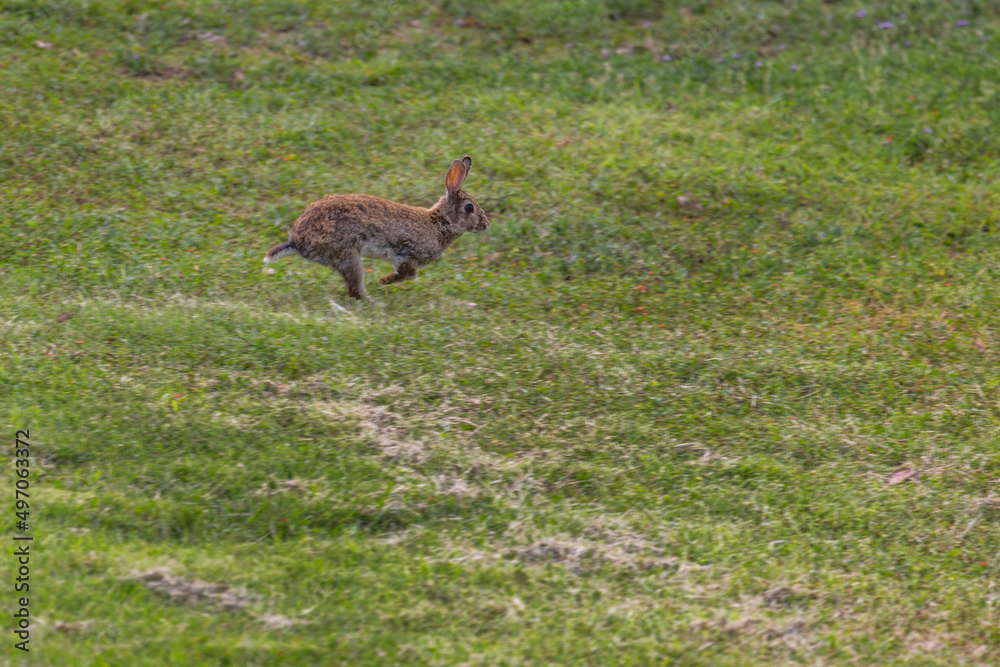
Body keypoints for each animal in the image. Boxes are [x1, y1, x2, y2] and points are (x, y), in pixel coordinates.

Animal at [263, 156, 490, 301]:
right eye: (469, 208)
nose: (486, 225)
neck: (439, 222)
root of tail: (297, 241)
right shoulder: (406, 254)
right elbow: (407, 274)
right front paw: (384, 280)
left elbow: (411, 275)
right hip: (347, 255)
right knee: (354, 288)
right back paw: (372, 301)